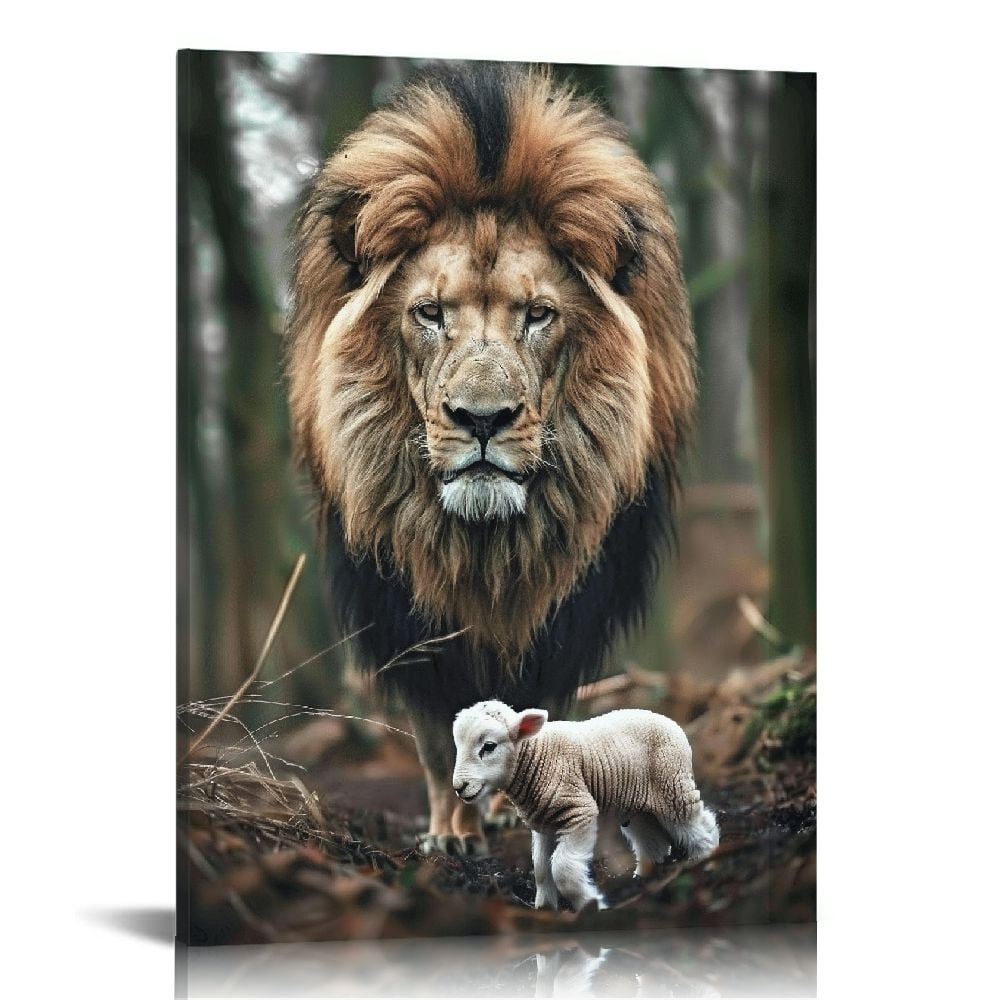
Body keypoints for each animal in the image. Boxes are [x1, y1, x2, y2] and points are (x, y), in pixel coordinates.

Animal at [285, 63, 696, 855]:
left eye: (537, 314)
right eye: (429, 313)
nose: (482, 419)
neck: (486, 548)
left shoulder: (568, 612)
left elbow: (528, 713)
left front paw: (517, 800)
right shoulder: (405, 614)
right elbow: (432, 734)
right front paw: (452, 831)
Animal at [451, 700, 719, 912]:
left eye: (488, 746)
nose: (459, 786)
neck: (536, 755)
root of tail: (669, 721)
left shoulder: (578, 810)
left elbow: (562, 869)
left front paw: (592, 904)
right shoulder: (544, 822)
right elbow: (540, 868)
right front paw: (545, 908)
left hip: (672, 785)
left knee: (697, 823)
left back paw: (707, 860)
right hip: (638, 806)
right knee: (652, 843)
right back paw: (642, 880)